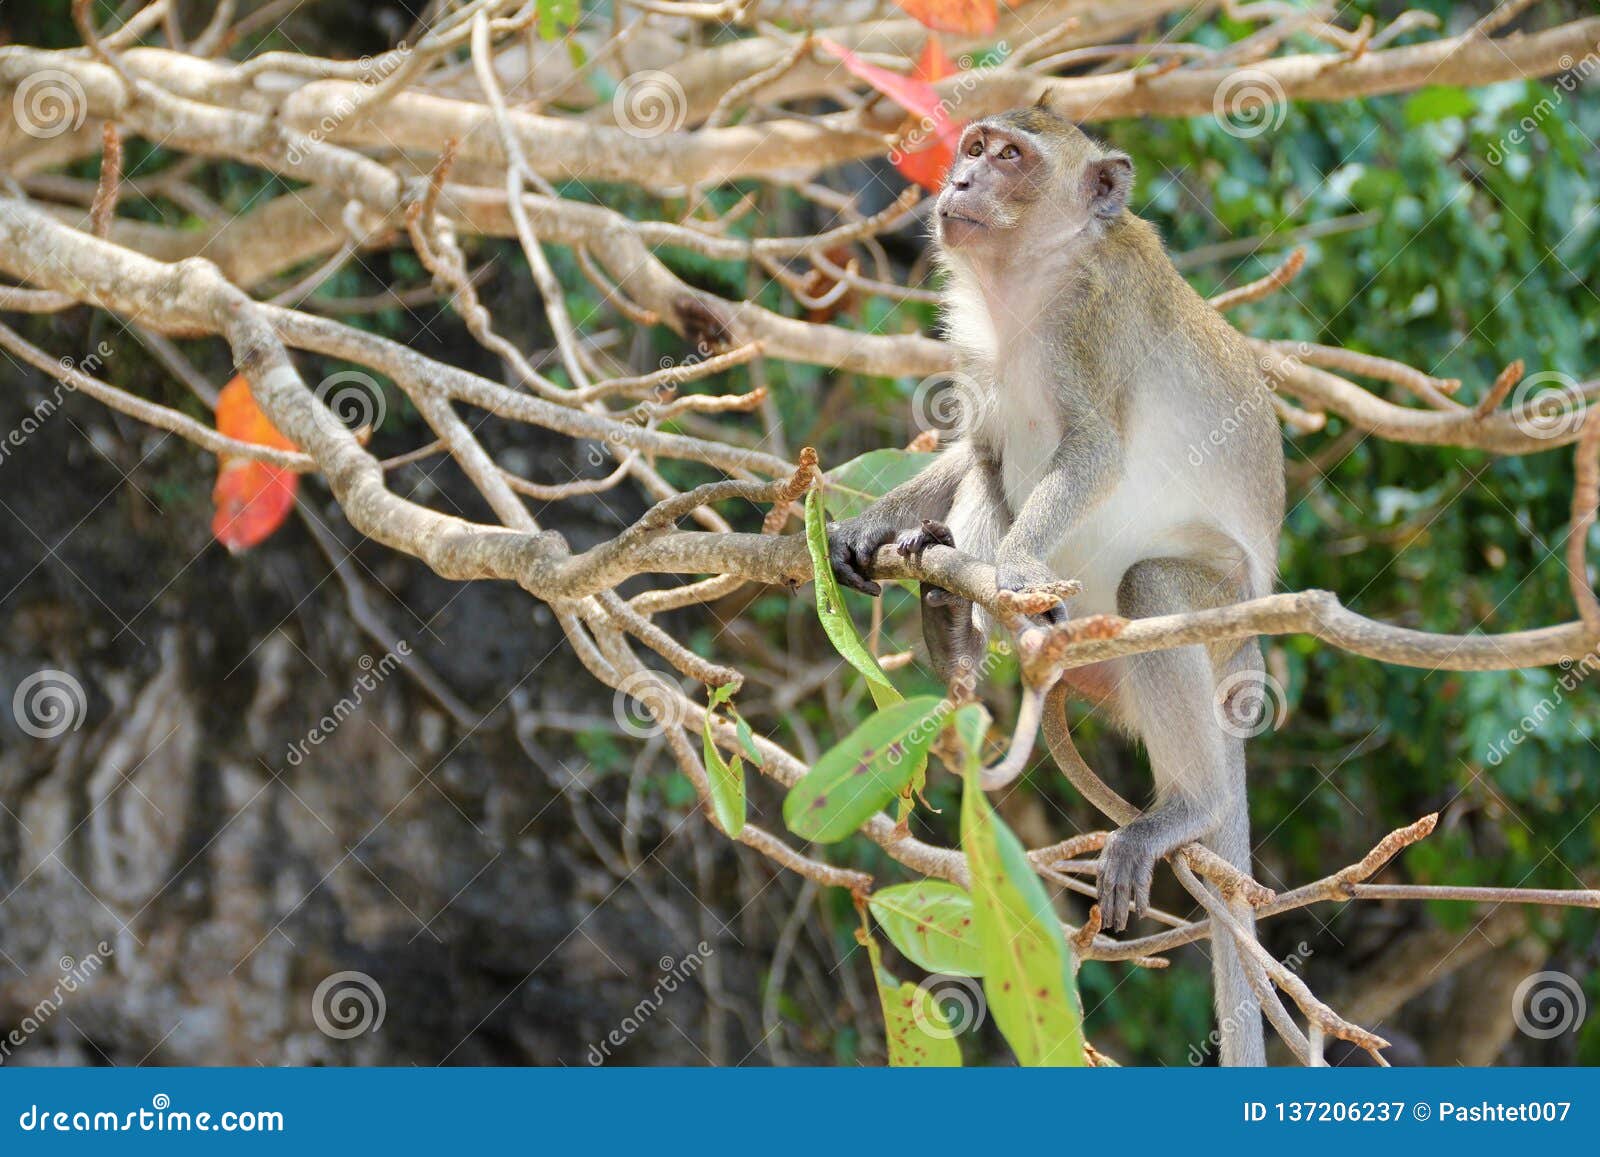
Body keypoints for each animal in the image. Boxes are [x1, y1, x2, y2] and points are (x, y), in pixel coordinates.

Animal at [825, 101, 1284, 1066]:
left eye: (1011, 157)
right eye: (972, 148)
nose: (961, 180)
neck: (1028, 287)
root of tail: (1247, 657)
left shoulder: (1092, 326)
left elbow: (1095, 455)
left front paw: (1017, 566)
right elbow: (979, 445)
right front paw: (873, 525)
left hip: (1219, 611)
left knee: (1152, 586)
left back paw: (1186, 807)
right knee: (994, 469)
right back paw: (953, 630)